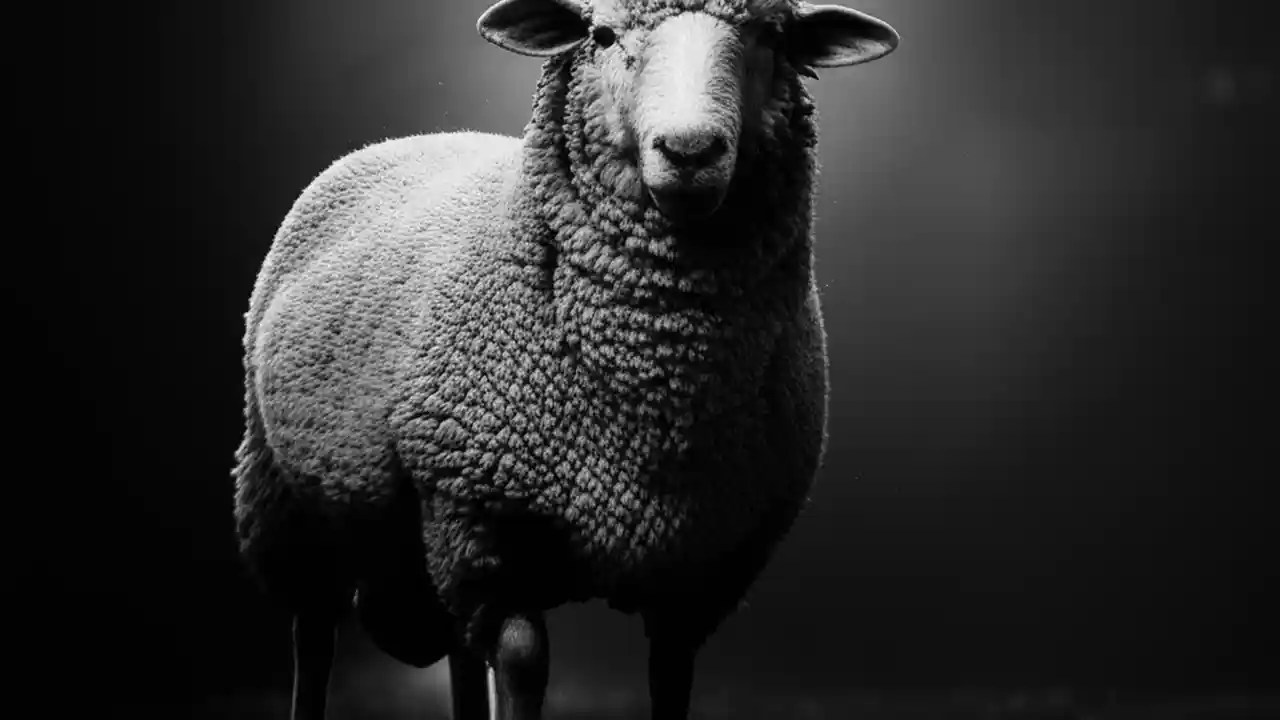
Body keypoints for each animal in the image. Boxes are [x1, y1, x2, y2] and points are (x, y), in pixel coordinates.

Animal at [231, 0, 899, 718]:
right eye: (601, 36)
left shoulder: (702, 572)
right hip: (284, 496)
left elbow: (671, 678)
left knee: (457, 648)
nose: (690, 151)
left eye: (772, 36)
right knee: (314, 634)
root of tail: (407, 139)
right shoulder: (488, 526)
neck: (656, 372)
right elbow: (522, 664)